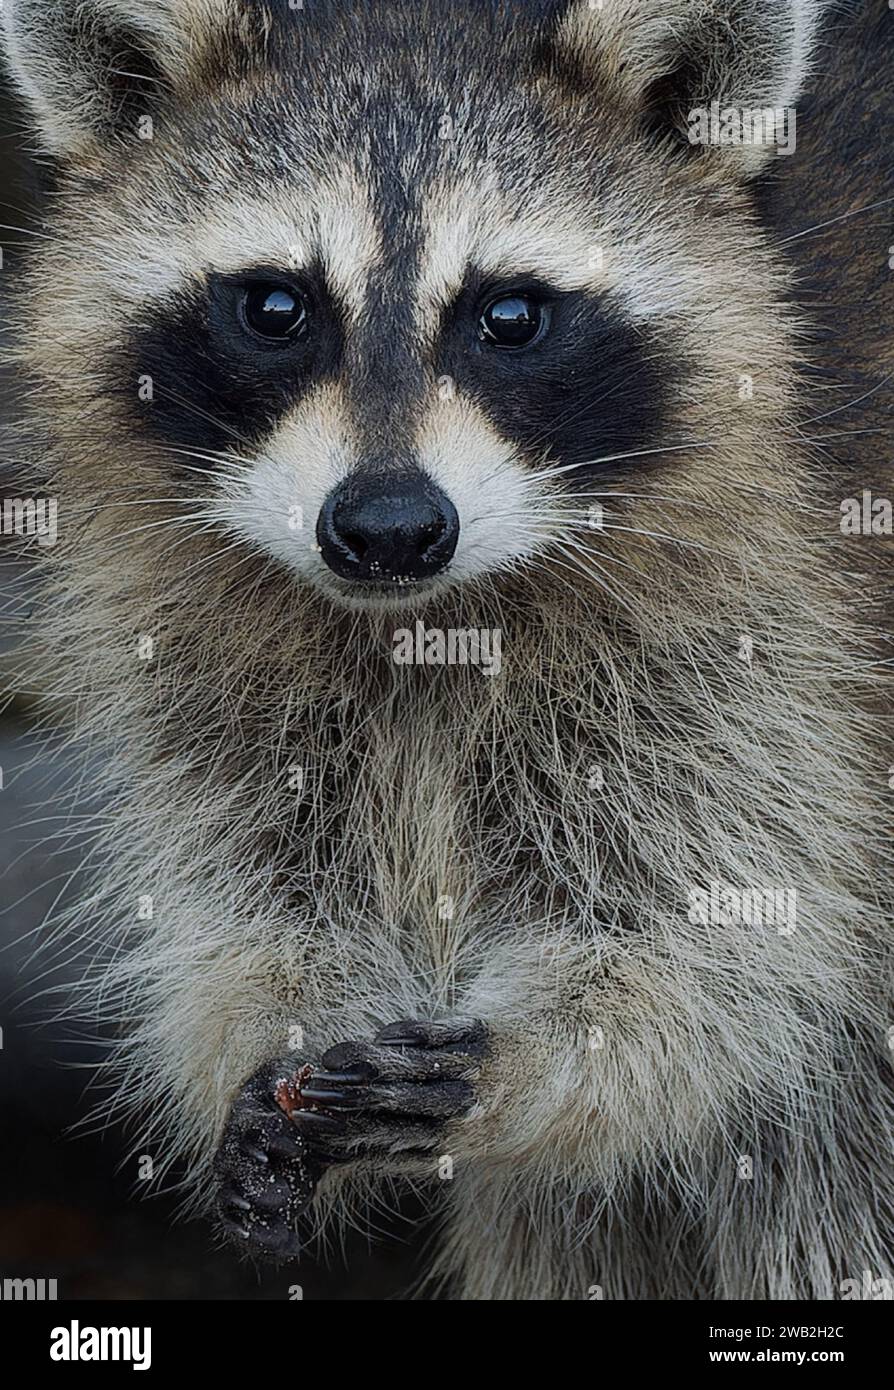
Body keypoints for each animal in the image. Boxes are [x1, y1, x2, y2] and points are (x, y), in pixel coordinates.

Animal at [2, 0, 892, 1300]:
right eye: (274, 307)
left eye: (509, 315)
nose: (386, 527)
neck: (419, 629)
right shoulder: (210, 651)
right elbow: (260, 874)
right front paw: (267, 1030)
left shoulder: (780, 631)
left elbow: (740, 937)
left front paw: (531, 1062)